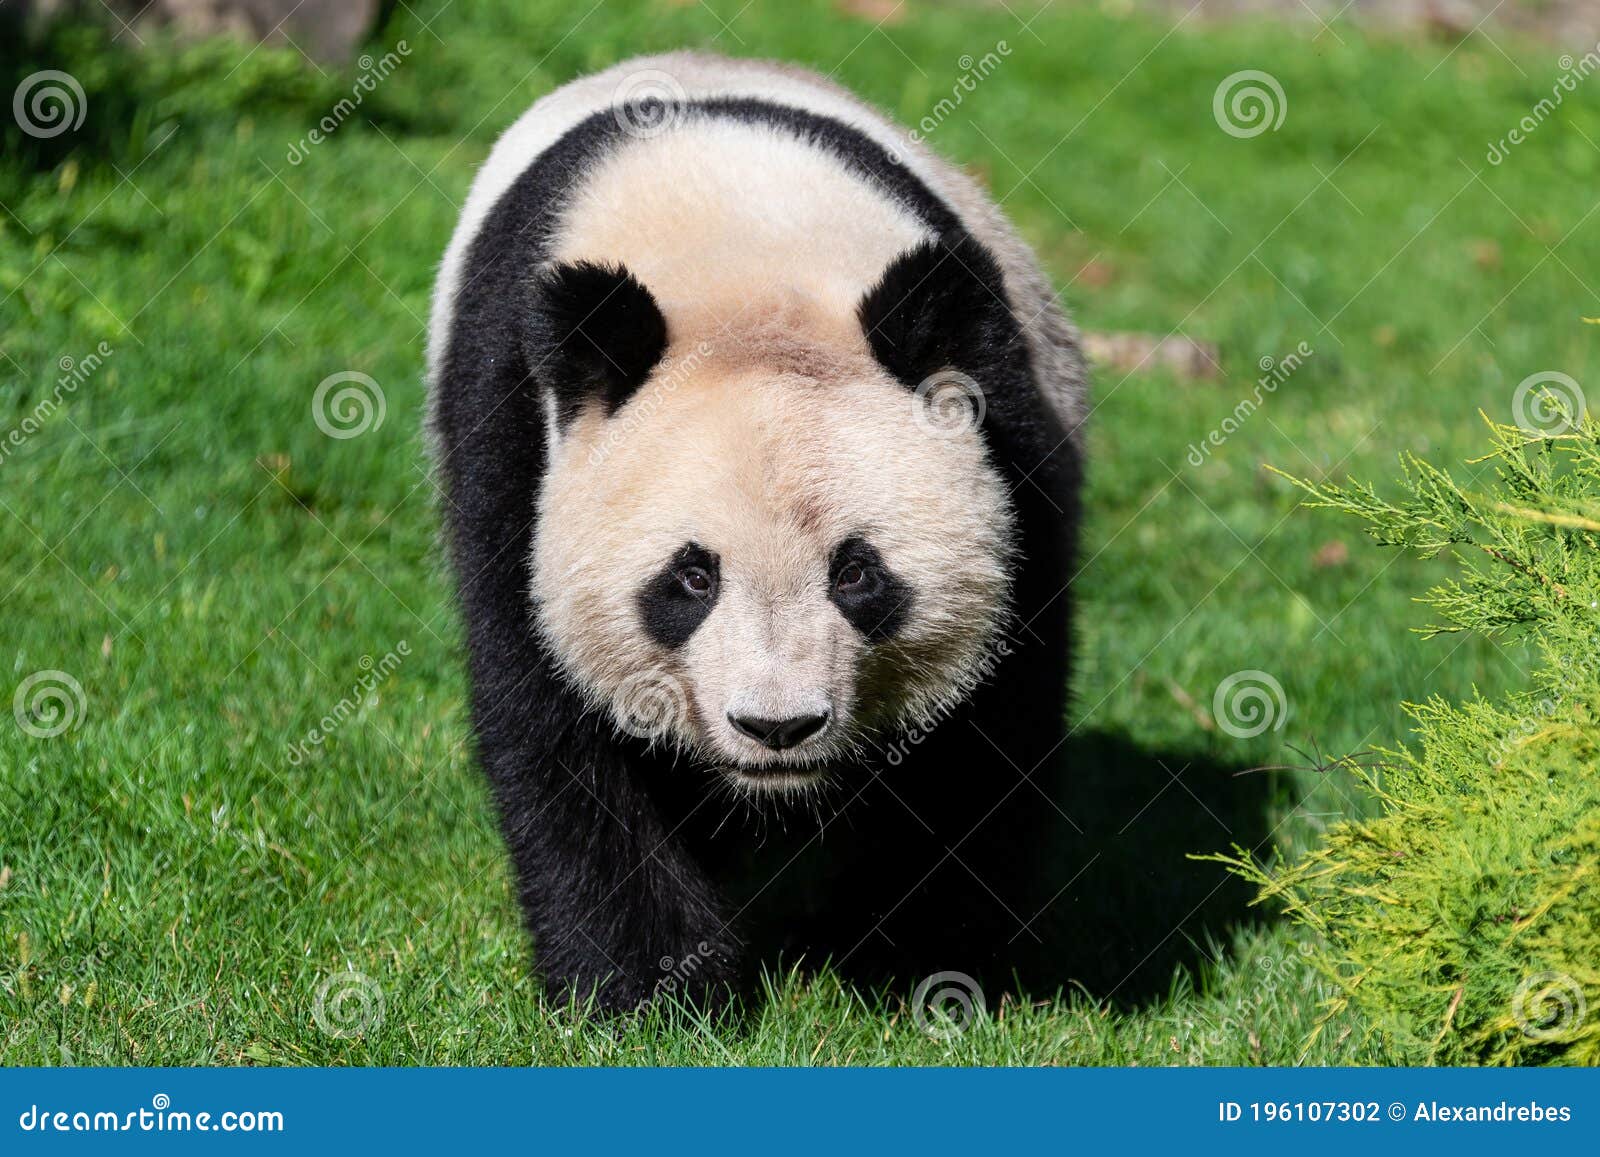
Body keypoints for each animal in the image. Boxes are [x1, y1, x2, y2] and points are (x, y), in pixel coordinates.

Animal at [427, 52, 1087, 1013]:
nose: (778, 728)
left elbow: (985, 727)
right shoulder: (511, 438)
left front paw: (916, 964)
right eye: (691, 577)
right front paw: (649, 988)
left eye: (857, 573)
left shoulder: (1013, 445)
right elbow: (554, 715)